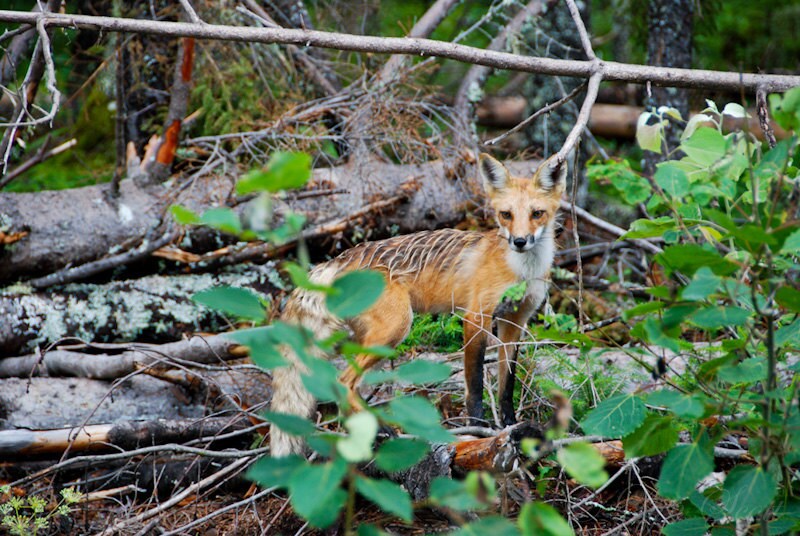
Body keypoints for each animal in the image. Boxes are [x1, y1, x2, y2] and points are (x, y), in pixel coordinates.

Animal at [270, 153, 566, 457]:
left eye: (537, 213)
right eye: (506, 214)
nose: (519, 241)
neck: (522, 272)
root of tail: (341, 258)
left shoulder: (515, 321)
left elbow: (507, 384)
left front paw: (510, 426)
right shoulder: (476, 317)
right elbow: (475, 385)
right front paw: (478, 431)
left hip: (374, 338)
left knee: (352, 384)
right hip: (396, 328)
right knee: (343, 382)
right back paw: (381, 430)